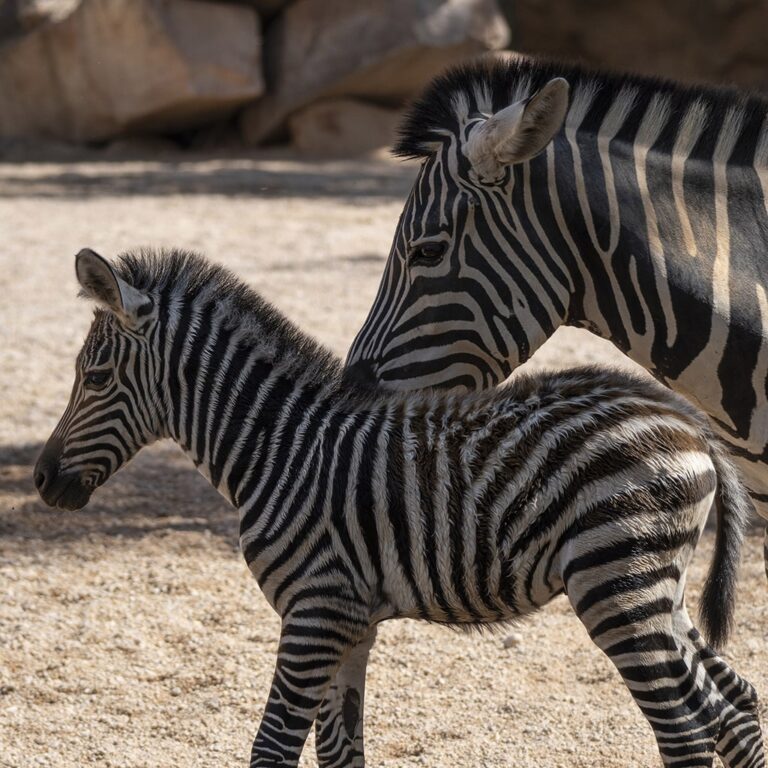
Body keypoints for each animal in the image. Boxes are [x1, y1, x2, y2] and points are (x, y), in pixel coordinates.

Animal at [34, 247, 763, 767]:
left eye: (93, 377)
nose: (42, 481)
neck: (278, 447)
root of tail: (688, 422)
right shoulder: (350, 622)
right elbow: (340, 752)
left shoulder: (316, 610)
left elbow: (272, 749)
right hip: (655, 588)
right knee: (731, 707)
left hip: (618, 585)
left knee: (686, 733)